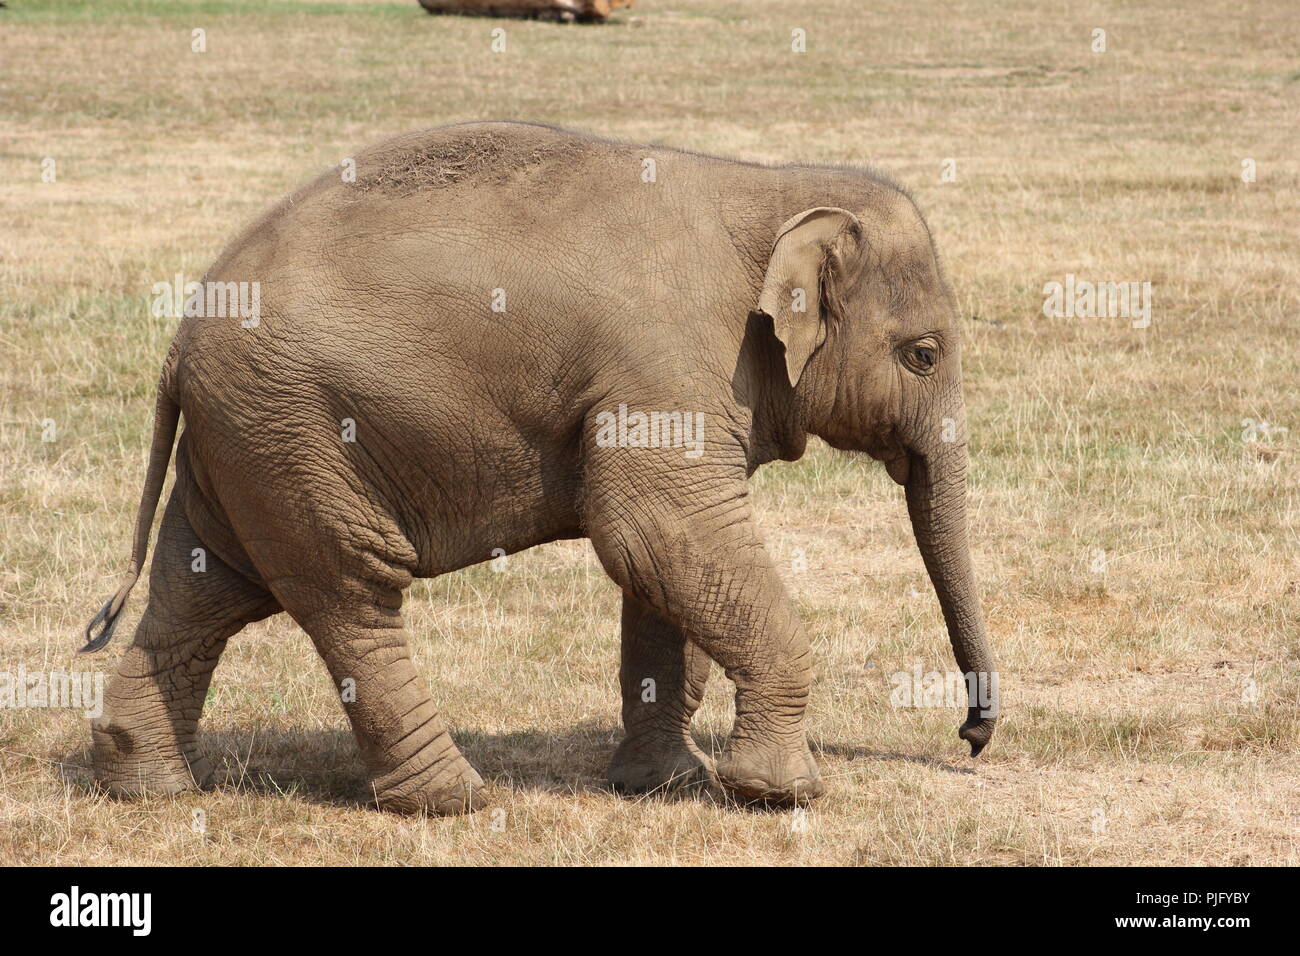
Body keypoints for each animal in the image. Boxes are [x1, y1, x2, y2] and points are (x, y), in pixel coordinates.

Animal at [82, 121, 997, 814]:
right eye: (922, 355)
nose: (972, 738)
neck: (774, 188)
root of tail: (178, 341)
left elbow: (659, 571)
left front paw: (665, 786)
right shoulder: (663, 369)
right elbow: (658, 535)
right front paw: (783, 794)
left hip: (245, 442)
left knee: (204, 586)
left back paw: (147, 786)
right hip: (293, 432)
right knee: (351, 591)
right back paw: (453, 800)